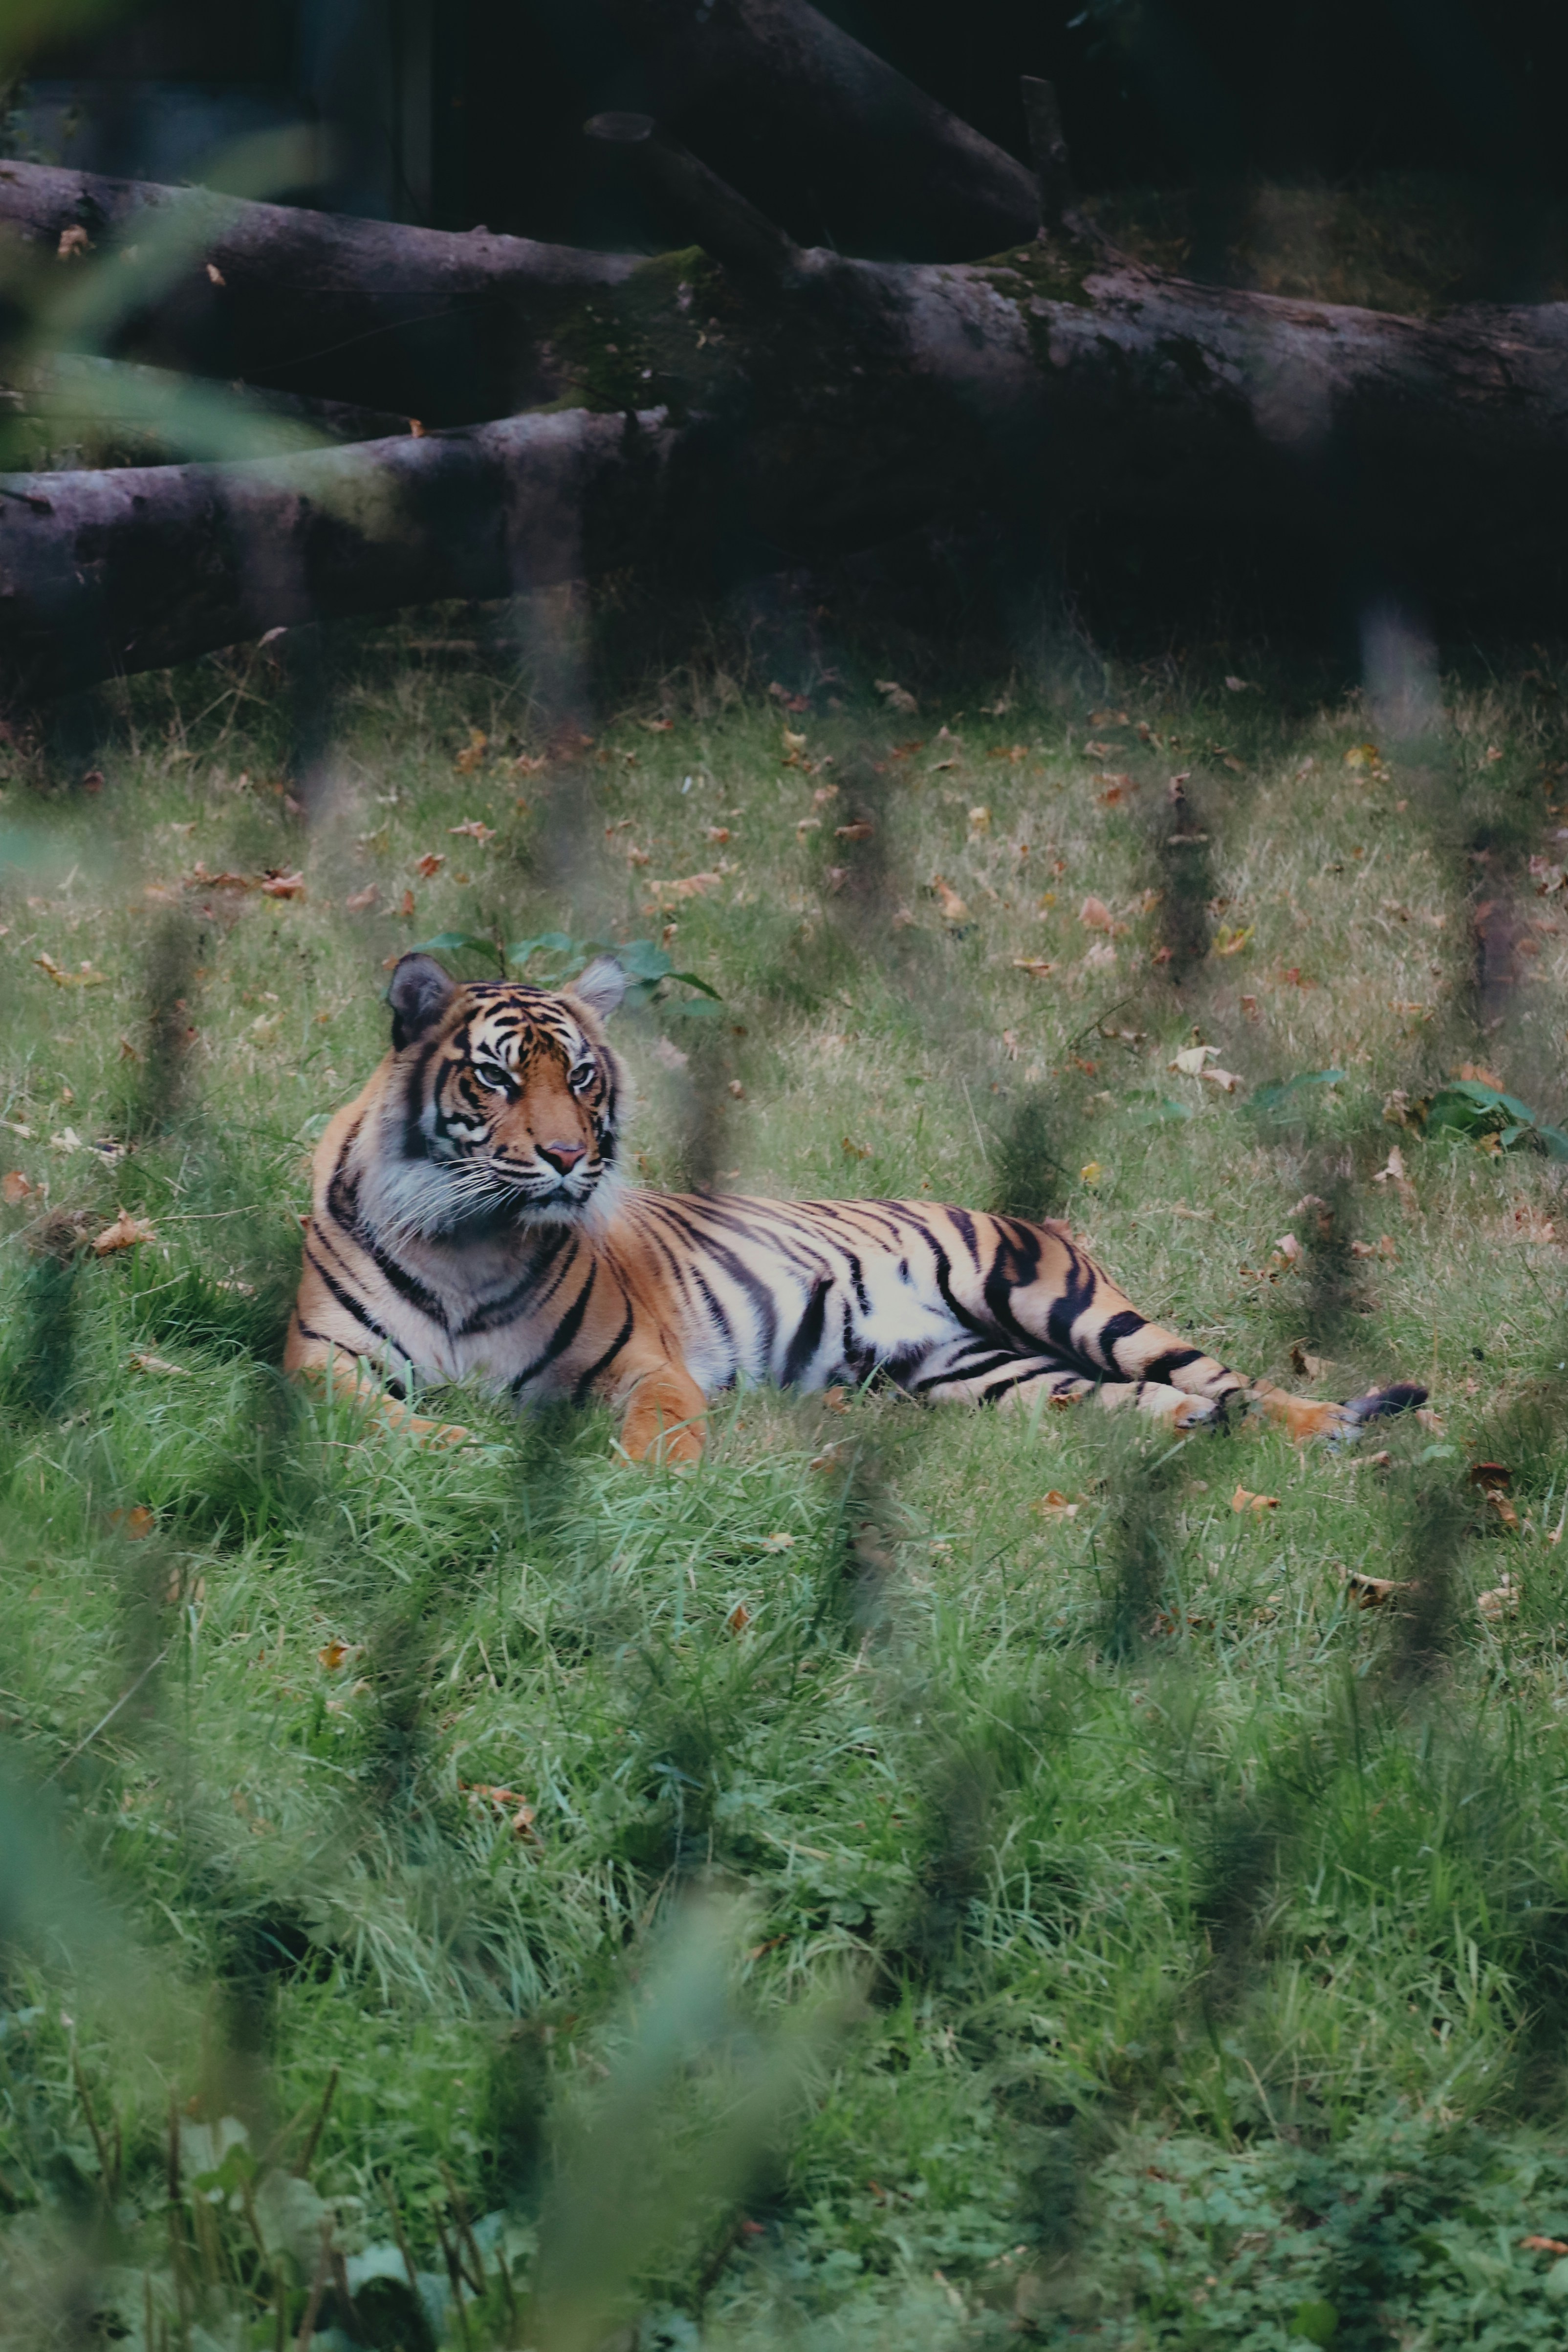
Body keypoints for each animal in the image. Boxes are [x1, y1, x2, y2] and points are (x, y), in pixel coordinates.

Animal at [284, 951, 1427, 1461]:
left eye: (582, 1076)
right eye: (495, 1079)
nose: (569, 1157)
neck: (469, 1239)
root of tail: (1033, 1215)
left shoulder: (641, 1364)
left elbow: (658, 1426)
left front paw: (647, 1480)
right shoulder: (317, 1361)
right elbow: (383, 1417)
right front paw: (455, 1448)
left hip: (1058, 1302)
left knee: (1223, 1374)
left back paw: (1323, 1423)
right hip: (979, 1375)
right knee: (1134, 1398)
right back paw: (1190, 1425)